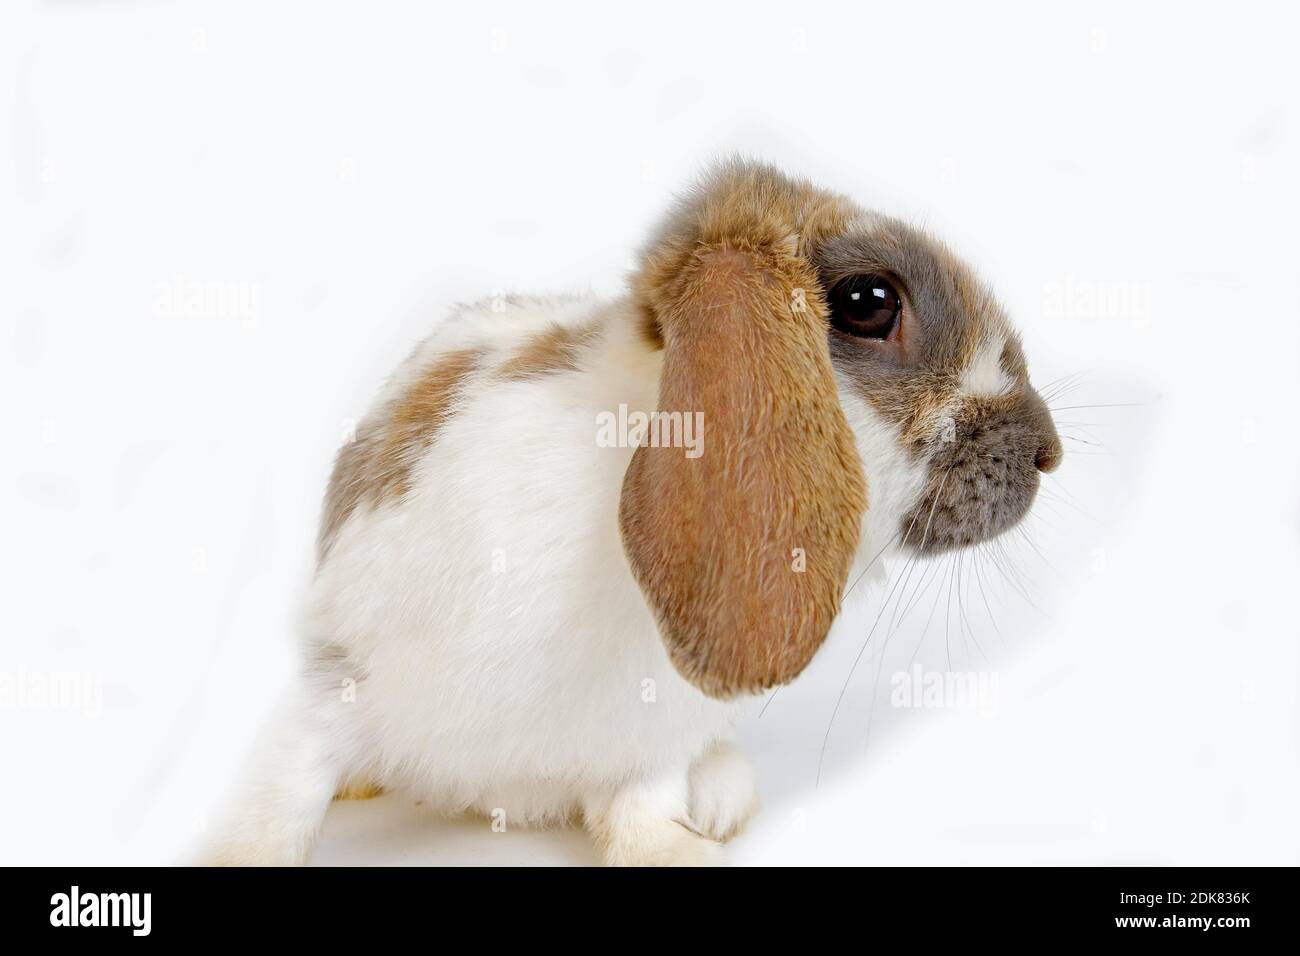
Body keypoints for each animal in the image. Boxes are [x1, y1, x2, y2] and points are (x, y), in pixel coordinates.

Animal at [198, 159, 1061, 867]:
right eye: (868, 302)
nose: (1047, 451)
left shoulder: (648, 736)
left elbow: (640, 808)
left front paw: (681, 850)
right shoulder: (335, 679)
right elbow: (282, 792)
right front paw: (240, 853)